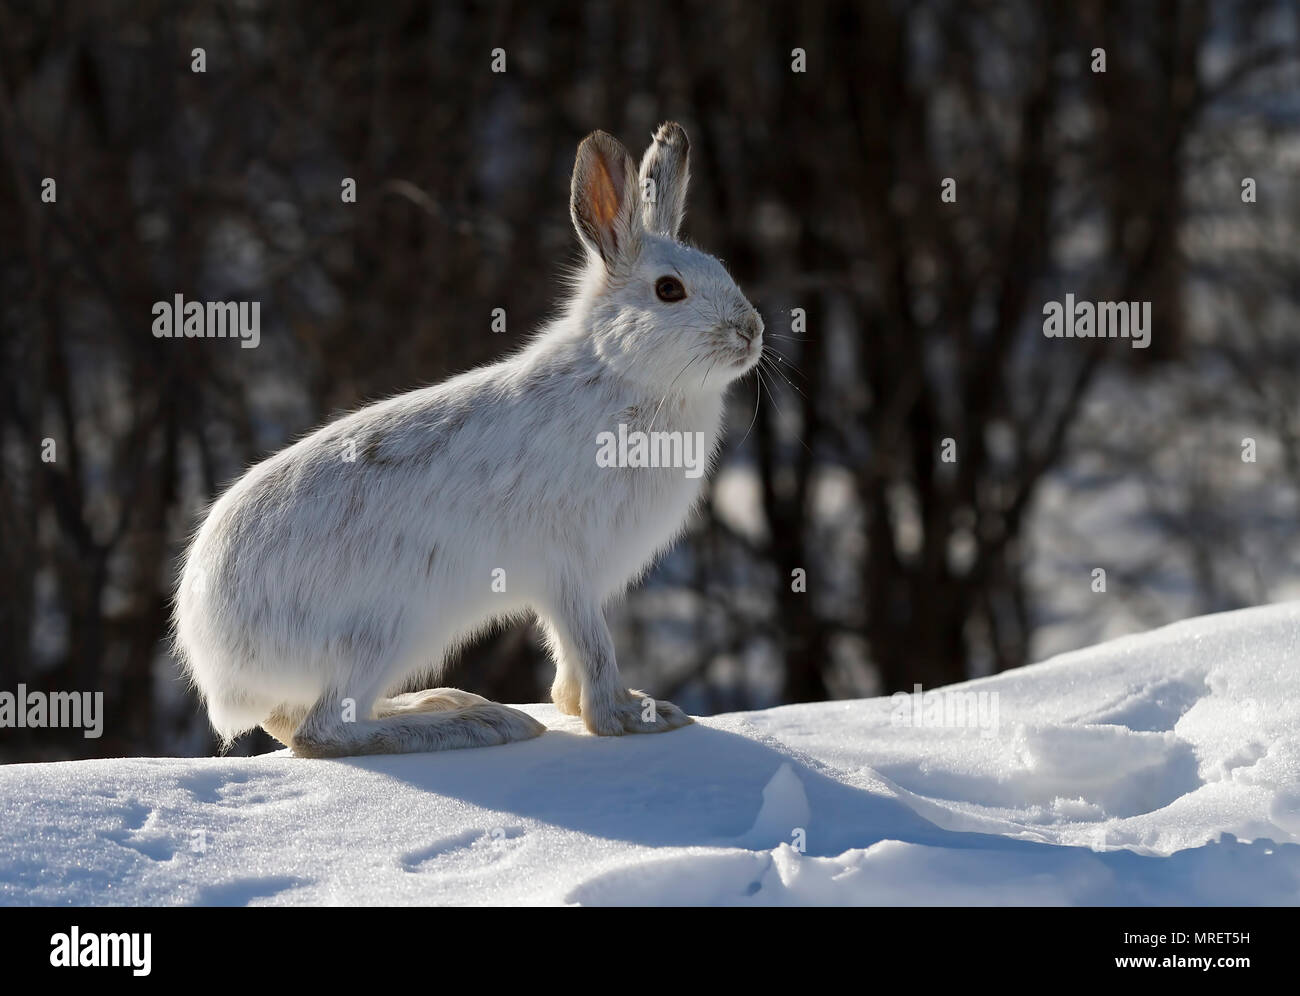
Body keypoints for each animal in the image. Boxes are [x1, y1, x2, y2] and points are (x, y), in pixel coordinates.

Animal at [173, 122, 764, 758]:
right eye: (669, 290)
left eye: (721, 269)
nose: (751, 332)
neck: (621, 373)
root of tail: (215, 667)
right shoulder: (568, 569)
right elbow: (594, 647)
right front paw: (630, 718)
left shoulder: (568, 586)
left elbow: (571, 656)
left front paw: (578, 705)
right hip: (385, 628)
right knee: (321, 730)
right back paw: (479, 723)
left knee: (297, 721)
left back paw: (449, 704)